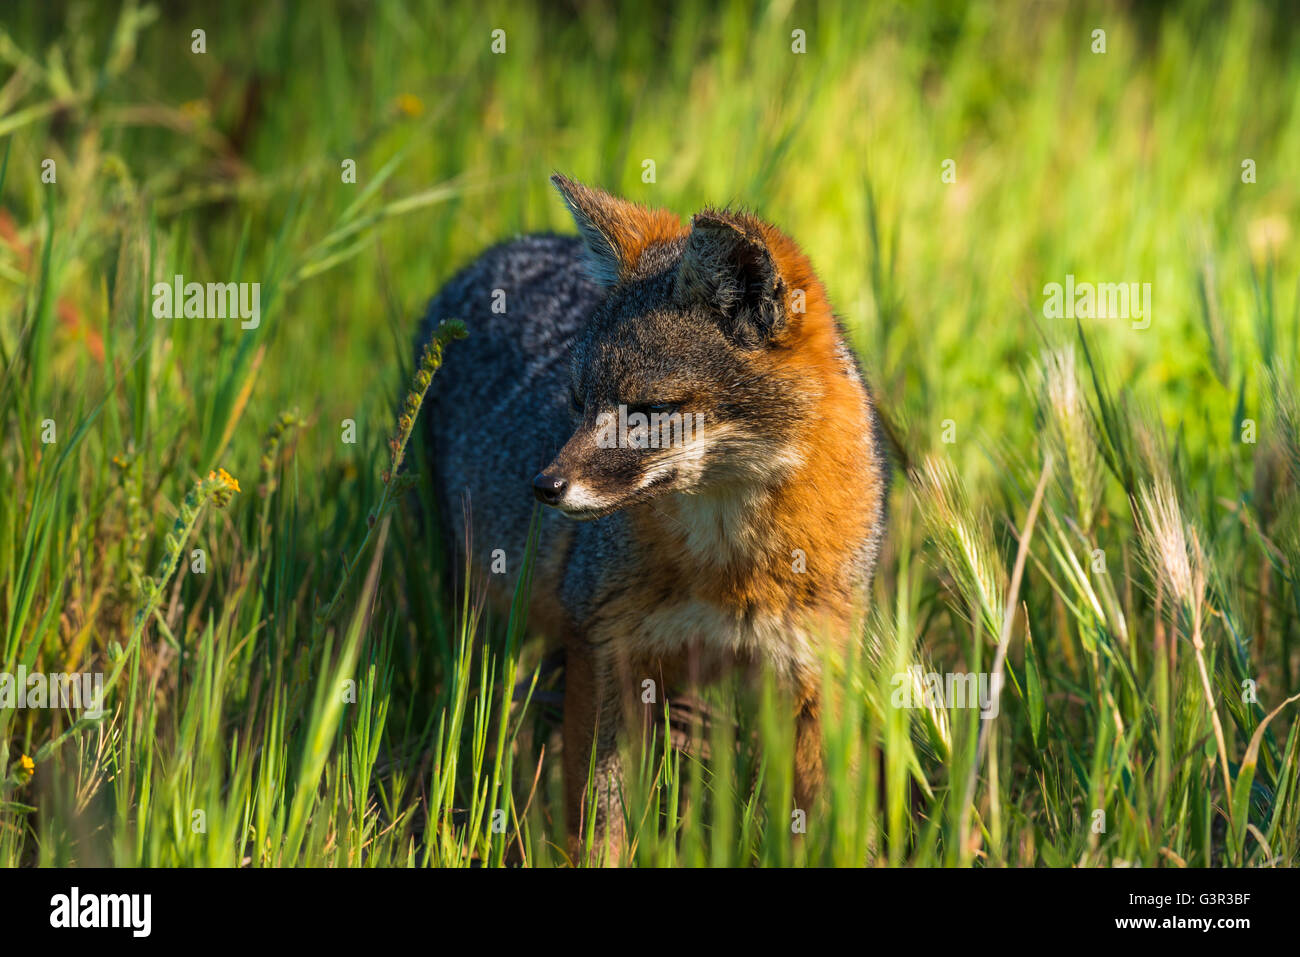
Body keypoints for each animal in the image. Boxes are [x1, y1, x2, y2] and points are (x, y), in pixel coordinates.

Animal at [418, 174, 889, 860]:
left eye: (647, 412)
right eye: (578, 403)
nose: (544, 487)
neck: (731, 567)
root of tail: (498, 251)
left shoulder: (812, 671)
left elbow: (826, 817)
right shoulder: (606, 650)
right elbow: (597, 819)